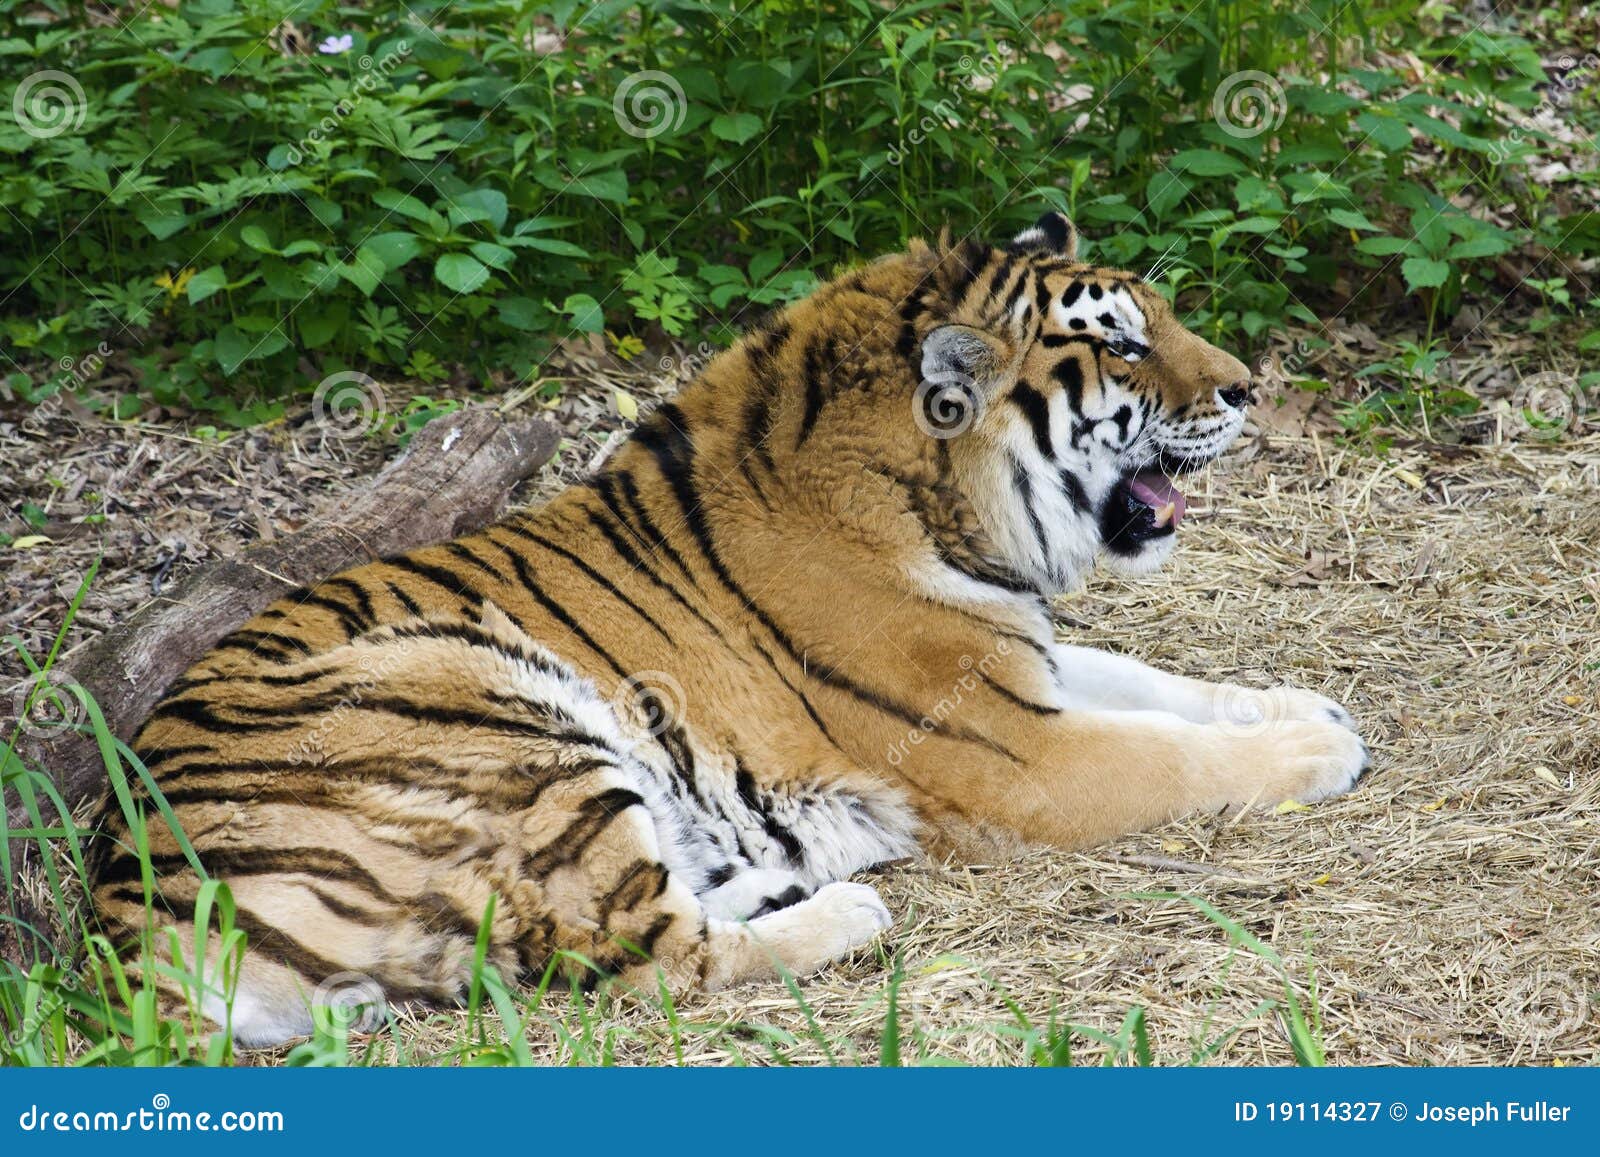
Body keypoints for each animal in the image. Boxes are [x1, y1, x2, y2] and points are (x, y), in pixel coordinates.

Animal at [91, 212, 1368, 1046]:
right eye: (1121, 343)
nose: (1250, 387)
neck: (945, 509)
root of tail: (127, 916)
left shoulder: (1021, 665)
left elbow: (1162, 681)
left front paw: (1303, 703)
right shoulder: (1018, 752)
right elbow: (1174, 753)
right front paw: (1319, 746)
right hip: (490, 698)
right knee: (647, 961)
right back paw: (845, 904)